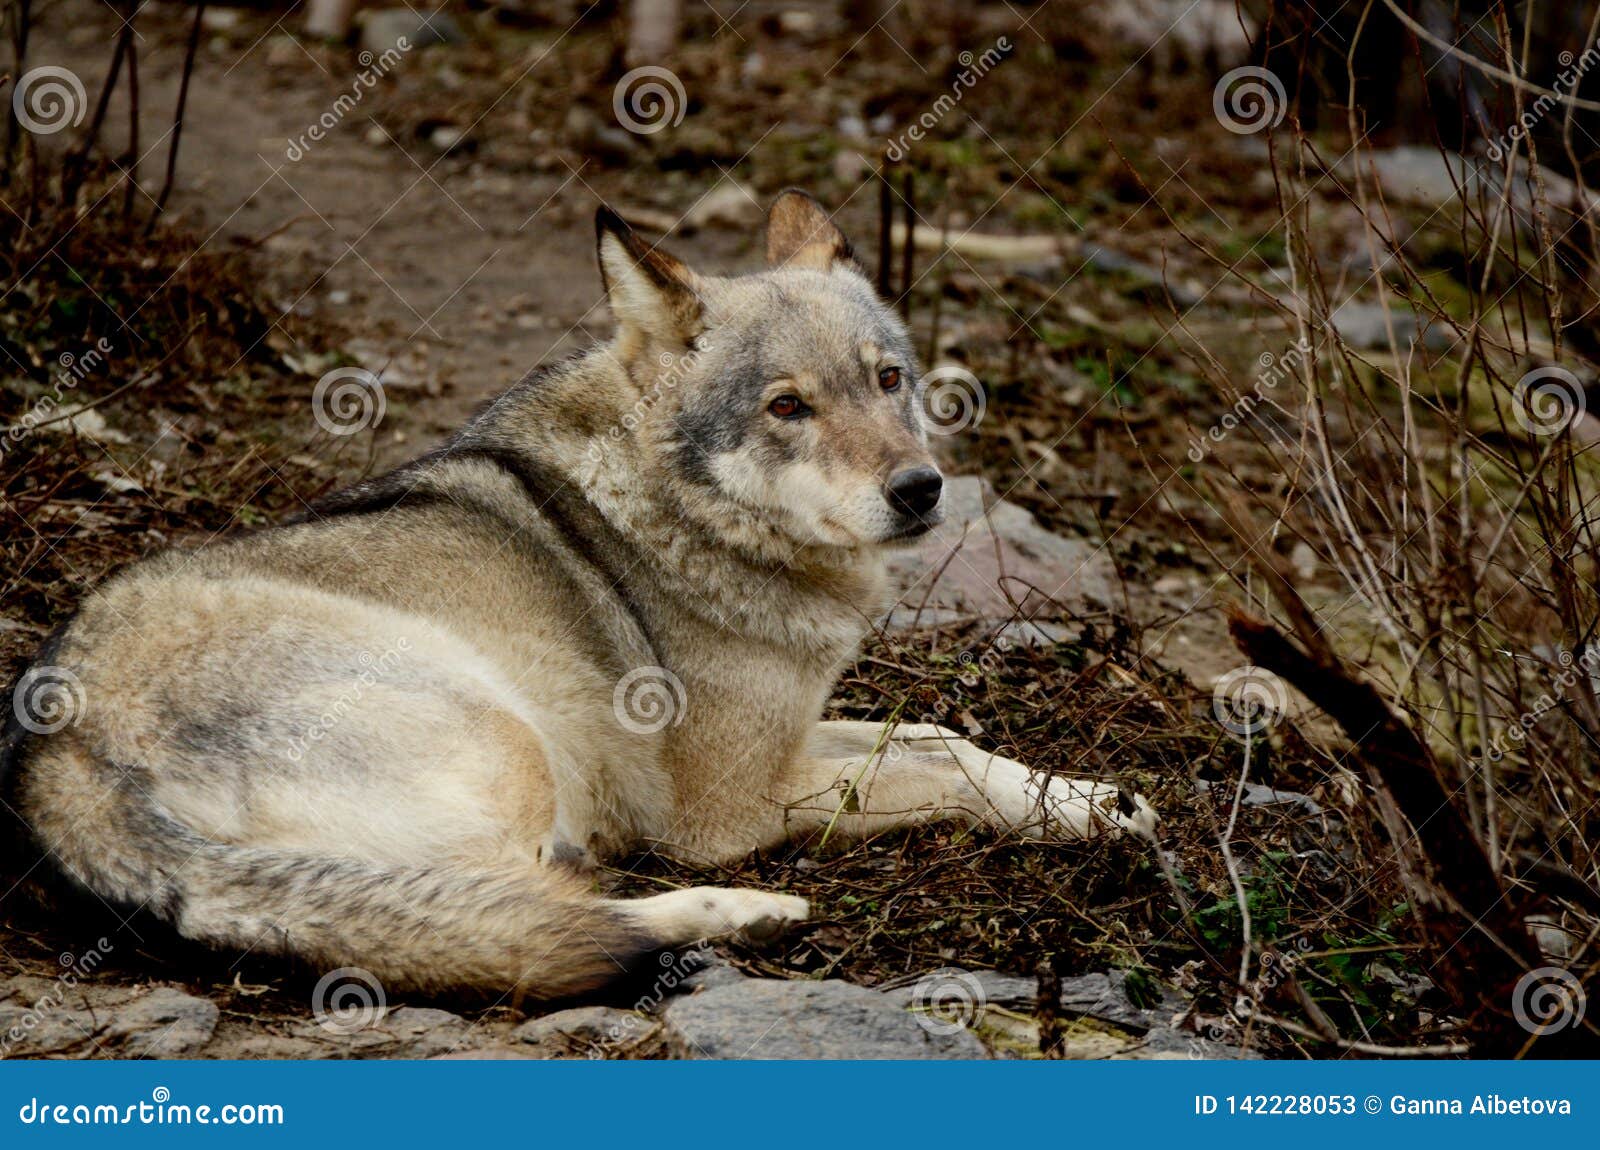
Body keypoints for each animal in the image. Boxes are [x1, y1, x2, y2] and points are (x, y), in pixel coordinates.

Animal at [0, 191, 1153, 998]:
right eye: (786, 407)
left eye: (887, 379)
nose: (920, 491)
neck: (674, 514)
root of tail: (60, 757)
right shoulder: (735, 804)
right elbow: (943, 773)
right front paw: (1076, 814)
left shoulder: (795, 736)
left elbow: (941, 737)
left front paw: (1101, 800)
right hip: (513, 752)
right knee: (536, 907)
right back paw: (742, 912)